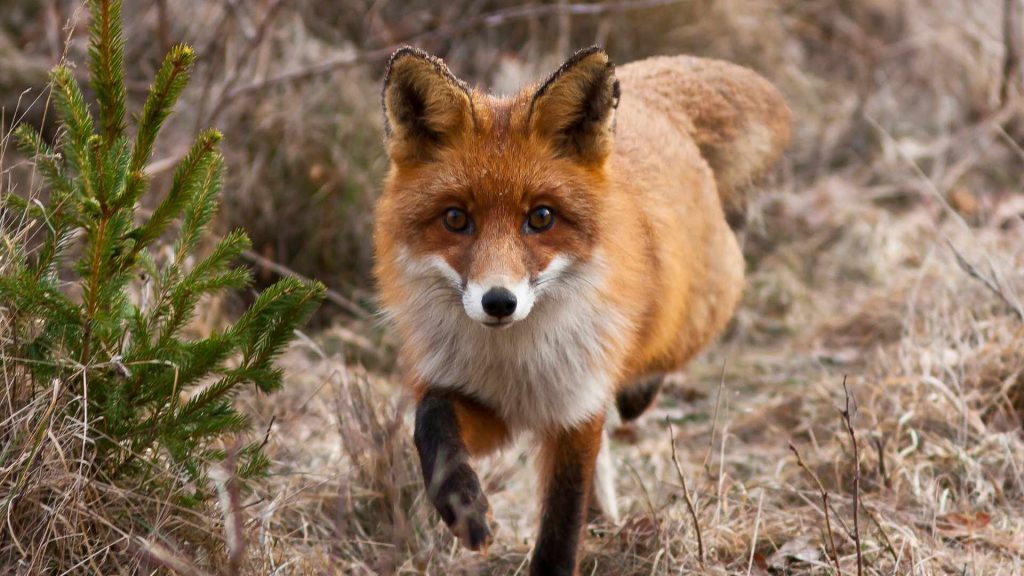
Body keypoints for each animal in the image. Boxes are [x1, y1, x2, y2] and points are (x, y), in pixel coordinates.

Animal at [374, 45, 790, 575]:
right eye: (455, 218)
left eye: (541, 218)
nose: (499, 302)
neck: (515, 363)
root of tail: (647, 83)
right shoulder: (485, 401)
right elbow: (431, 420)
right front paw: (462, 504)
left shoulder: (575, 406)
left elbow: (560, 523)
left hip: (692, 316)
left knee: (656, 365)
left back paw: (638, 392)